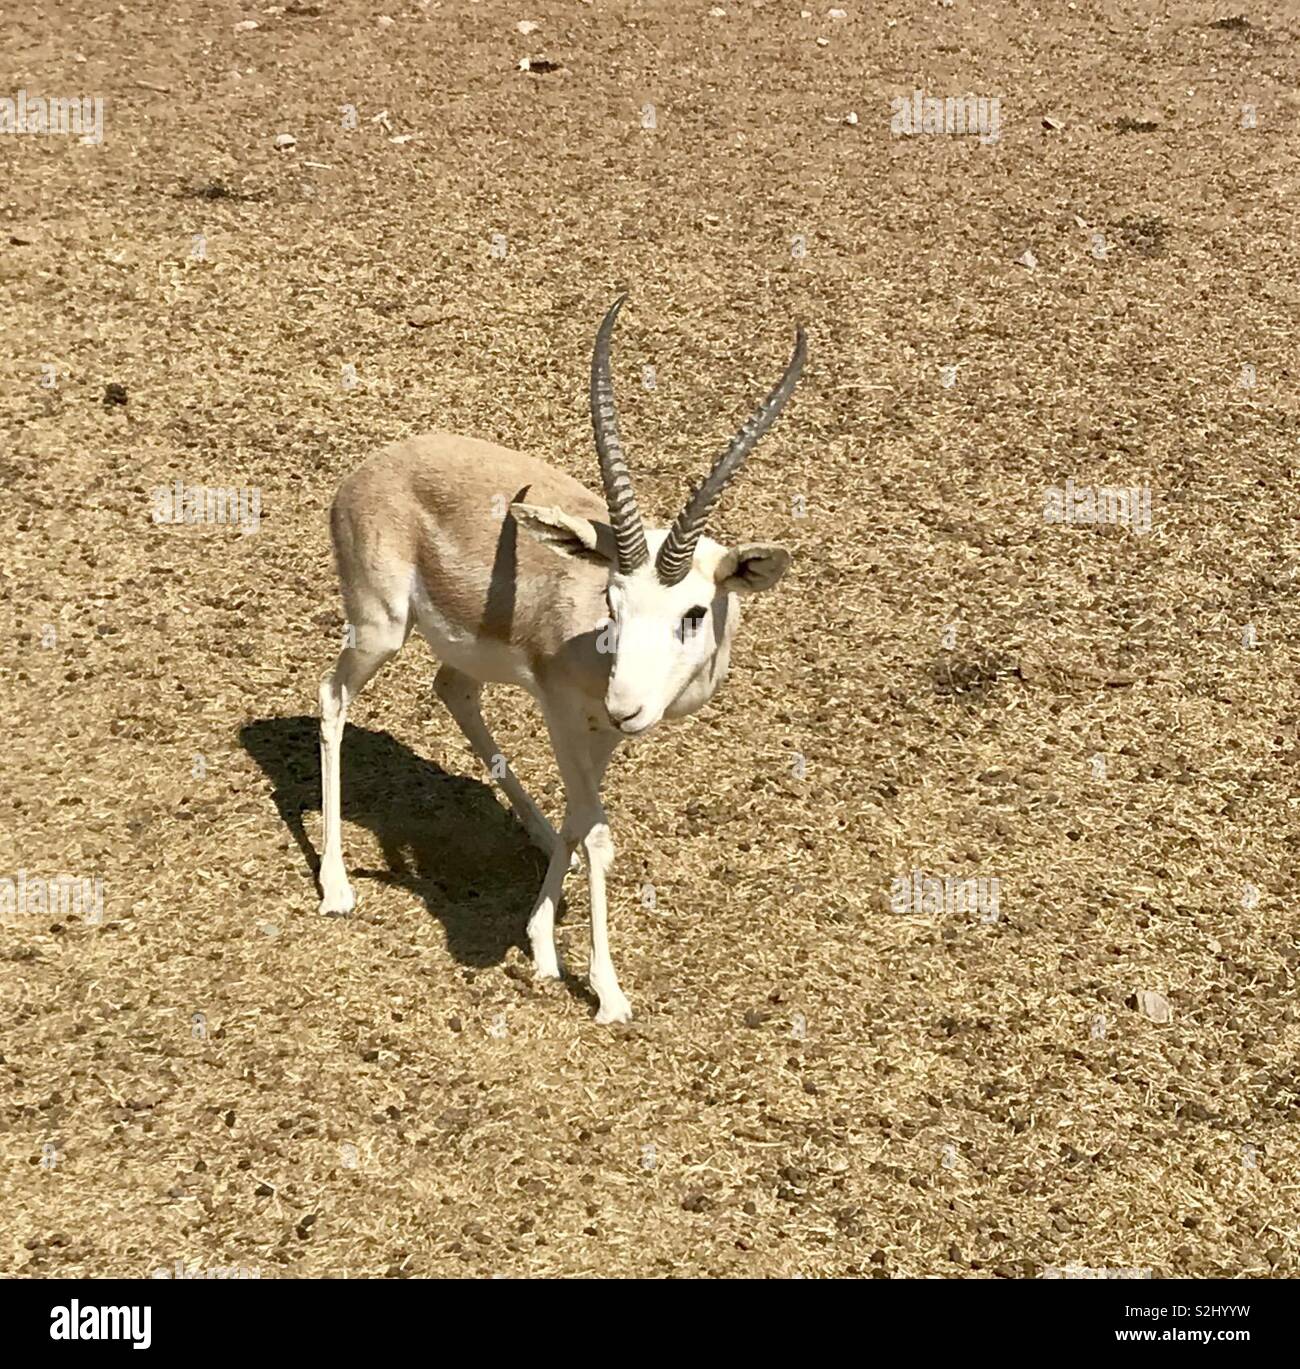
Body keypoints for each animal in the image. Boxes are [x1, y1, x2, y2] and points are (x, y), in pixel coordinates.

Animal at [317, 298, 806, 1023]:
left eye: (693, 611)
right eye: (613, 600)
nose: (627, 703)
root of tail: (367, 472)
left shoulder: (605, 728)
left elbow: (583, 816)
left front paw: (543, 942)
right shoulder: (562, 711)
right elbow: (599, 832)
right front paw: (607, 992)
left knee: (454, 690)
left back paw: (542, 837)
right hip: (379, 630)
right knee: (333, 698)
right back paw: (336, 887)